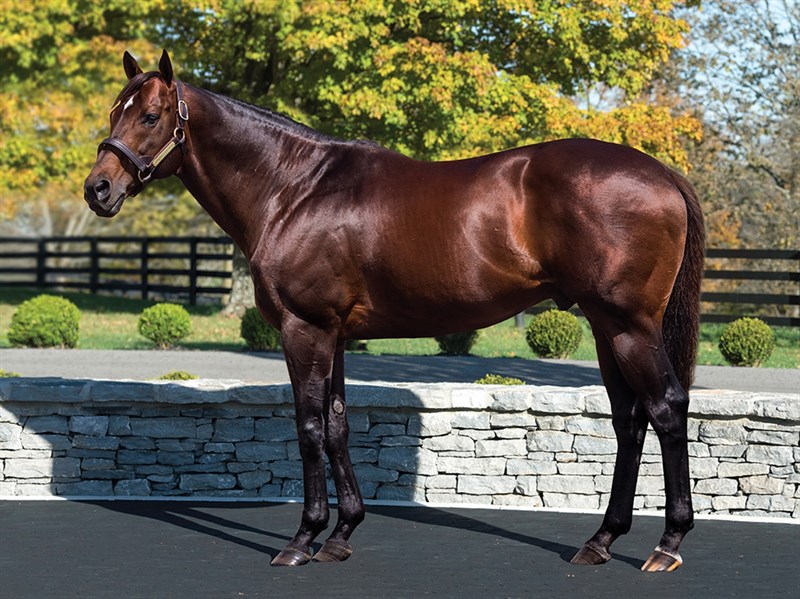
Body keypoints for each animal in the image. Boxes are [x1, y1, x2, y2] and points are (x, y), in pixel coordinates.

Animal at [84, 50, 704, 572]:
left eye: (151, 116)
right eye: (115, 111)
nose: (98, 189)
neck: (293, 189)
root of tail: (664, 174)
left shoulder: (303, 329)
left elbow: (309, 426)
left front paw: (302, 539)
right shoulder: (333, 334)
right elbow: (337, 424)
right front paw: (341, 534)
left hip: (629, 327)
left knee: (667, 409)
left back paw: (667, 544)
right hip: (605, 328)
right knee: (629, 419)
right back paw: (601, 540)